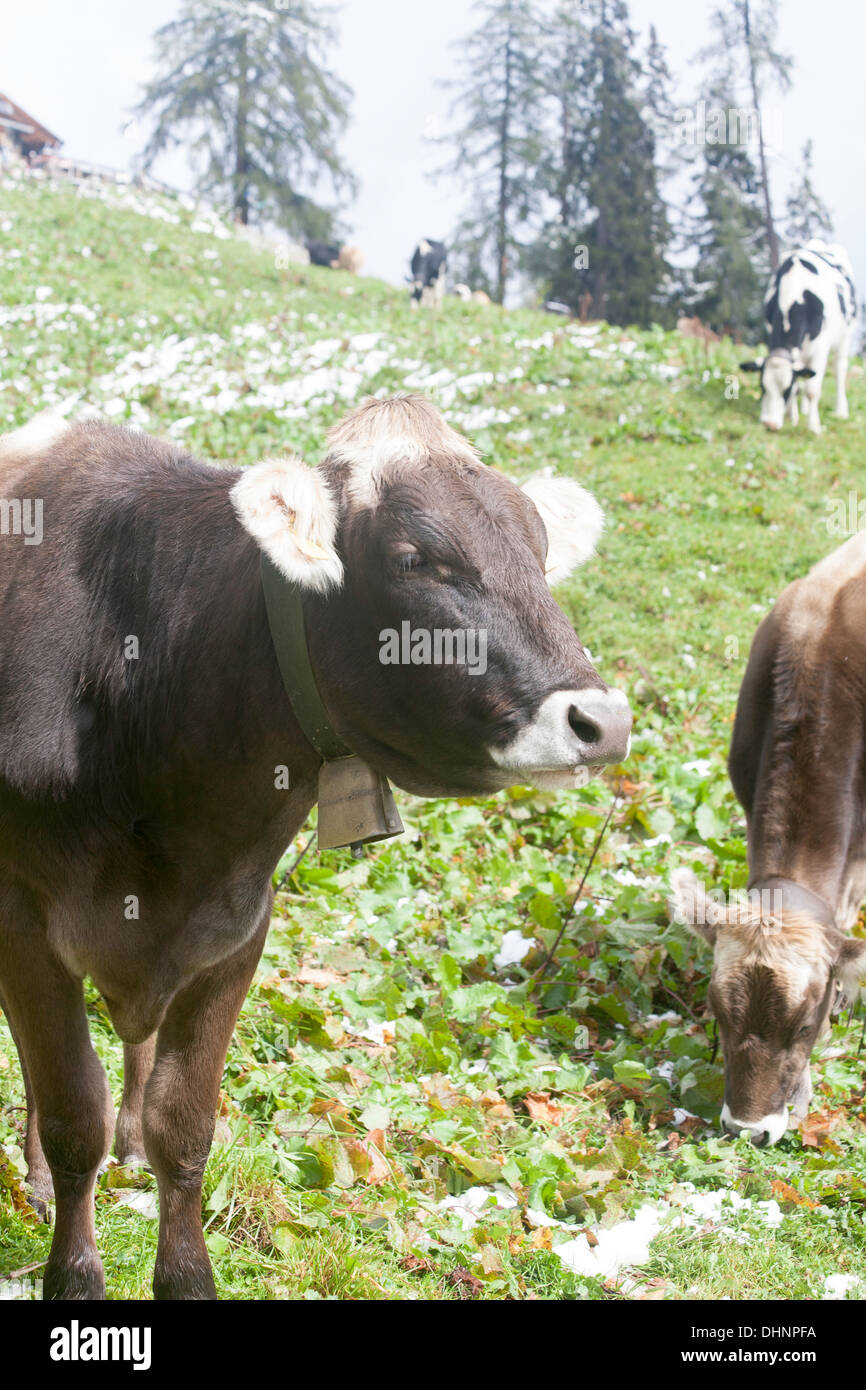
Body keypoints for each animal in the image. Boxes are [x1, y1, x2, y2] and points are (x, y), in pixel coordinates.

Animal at [0, 395, 632, 1298]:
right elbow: (69, 1114)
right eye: (414, 558)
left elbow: (183, 1124)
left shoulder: (235, 923)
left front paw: (184, 1272)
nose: (601, 722)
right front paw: (76, 1277)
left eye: (541, 552)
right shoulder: (23, 918)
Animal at [739, 240, 857, 434]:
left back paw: (841, 411)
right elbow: (799, 382)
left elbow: (812, 389)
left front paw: (814, 426)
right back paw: (804, 409)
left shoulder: (821, 346)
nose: (769, 424)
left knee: (839, 370)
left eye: (785, 390)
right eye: (762, 387)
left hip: (845, 336)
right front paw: (792, 417)